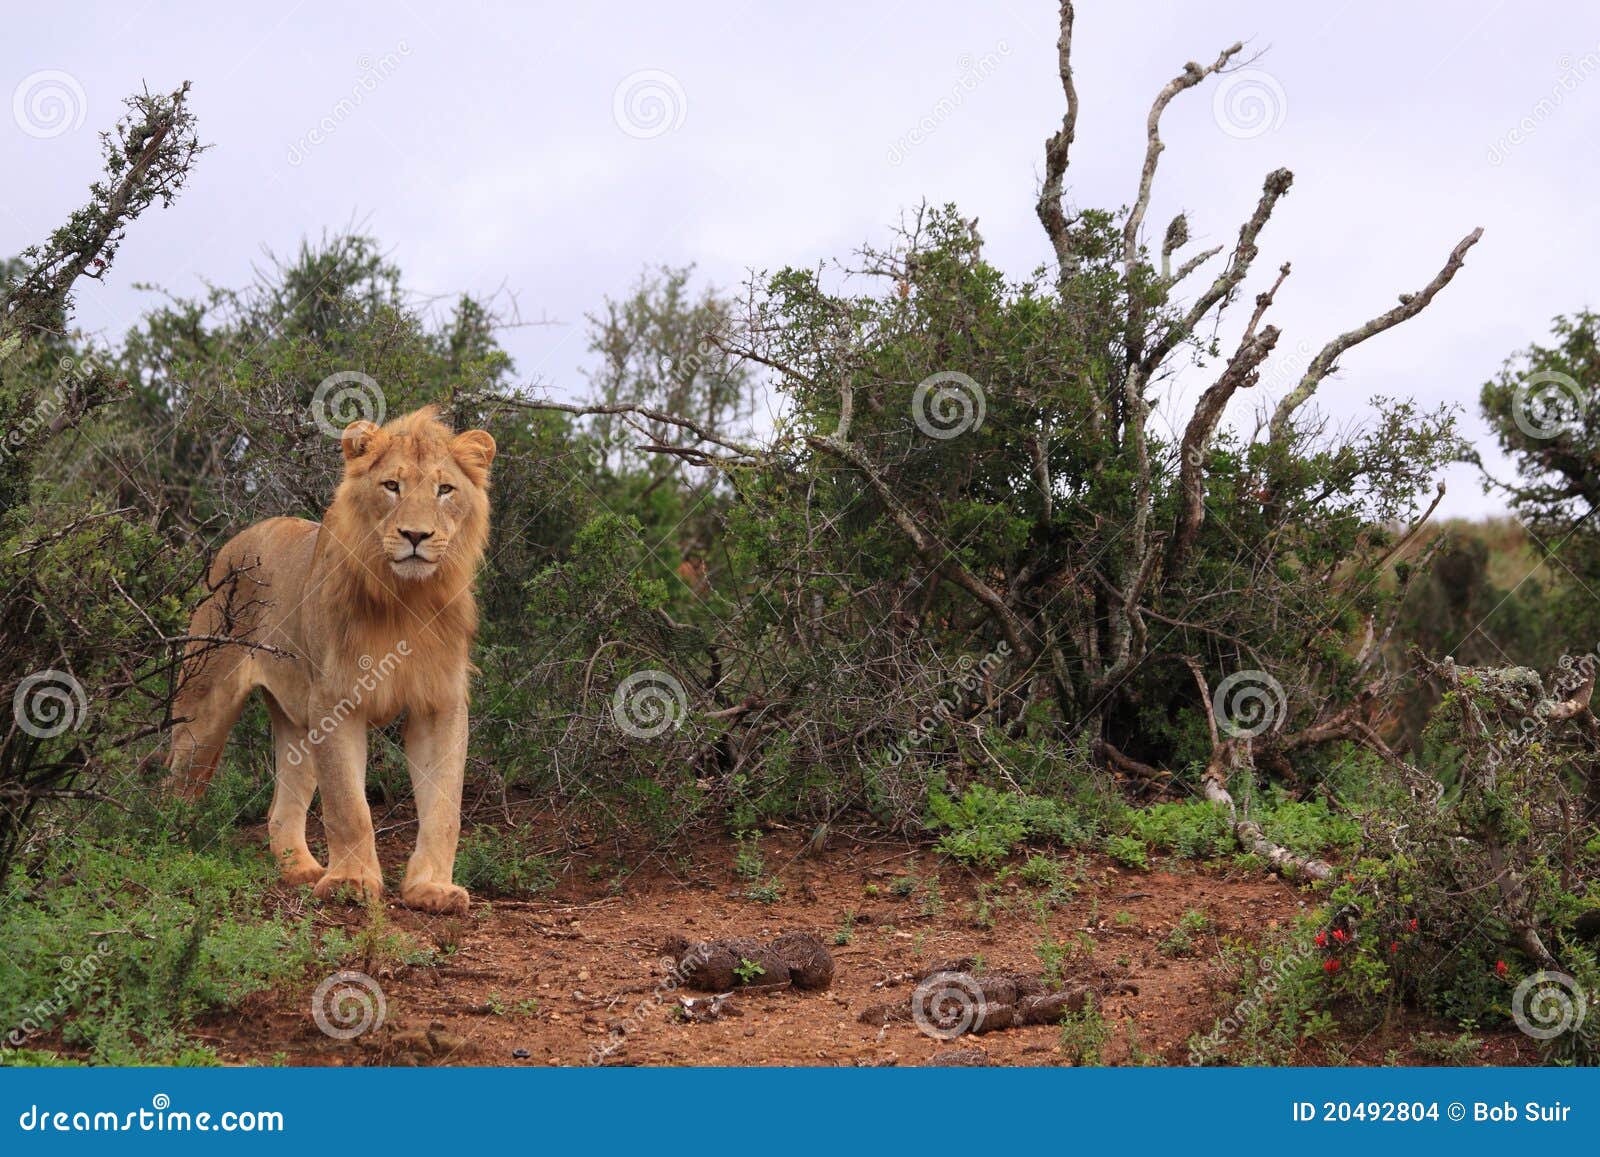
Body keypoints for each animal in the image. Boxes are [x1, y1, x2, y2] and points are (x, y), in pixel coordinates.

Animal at [167, 406, 495, 915]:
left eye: (445, 490)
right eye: (392, 486)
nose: (416, 535)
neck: (407, 600)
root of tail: (239, 539)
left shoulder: (439, 704)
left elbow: (444, 807)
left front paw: (431, 889)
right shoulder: (335, 700)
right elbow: (348, 805)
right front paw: (352, 883)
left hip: (296, 721)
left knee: (280, 808)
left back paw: (301, 872)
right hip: (204, 710)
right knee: (177, 784)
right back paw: (168, 850)